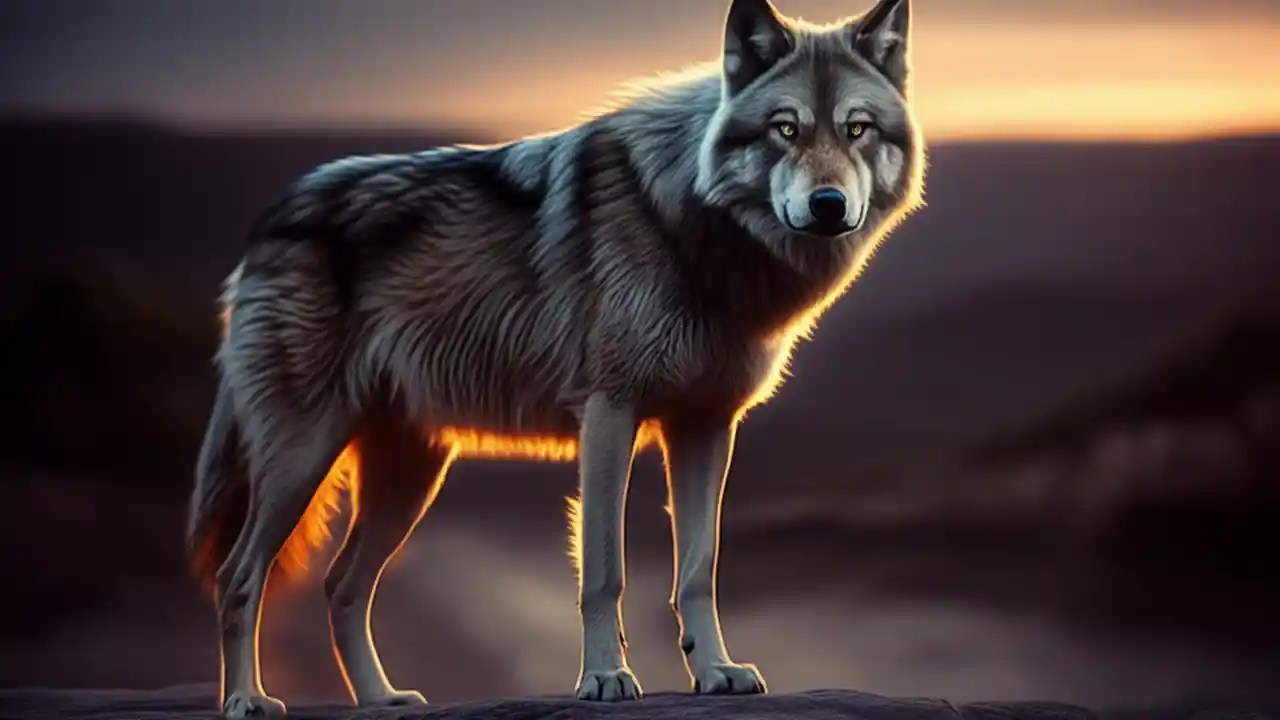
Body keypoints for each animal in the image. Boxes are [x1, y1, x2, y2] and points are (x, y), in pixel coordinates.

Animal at [187, 0, 923, 715]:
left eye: (857, 130)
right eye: (785, 129)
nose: (828, 205)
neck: (692, 223)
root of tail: (269, 221)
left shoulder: (707, 426)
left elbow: (698, 569)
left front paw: (716, 672)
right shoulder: (609, 415)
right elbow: (603, 571)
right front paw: (604, 678)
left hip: (411, 474)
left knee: (342, 585)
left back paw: (381, 699)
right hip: (302, 458)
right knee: (238, 575)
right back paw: (247, 699)